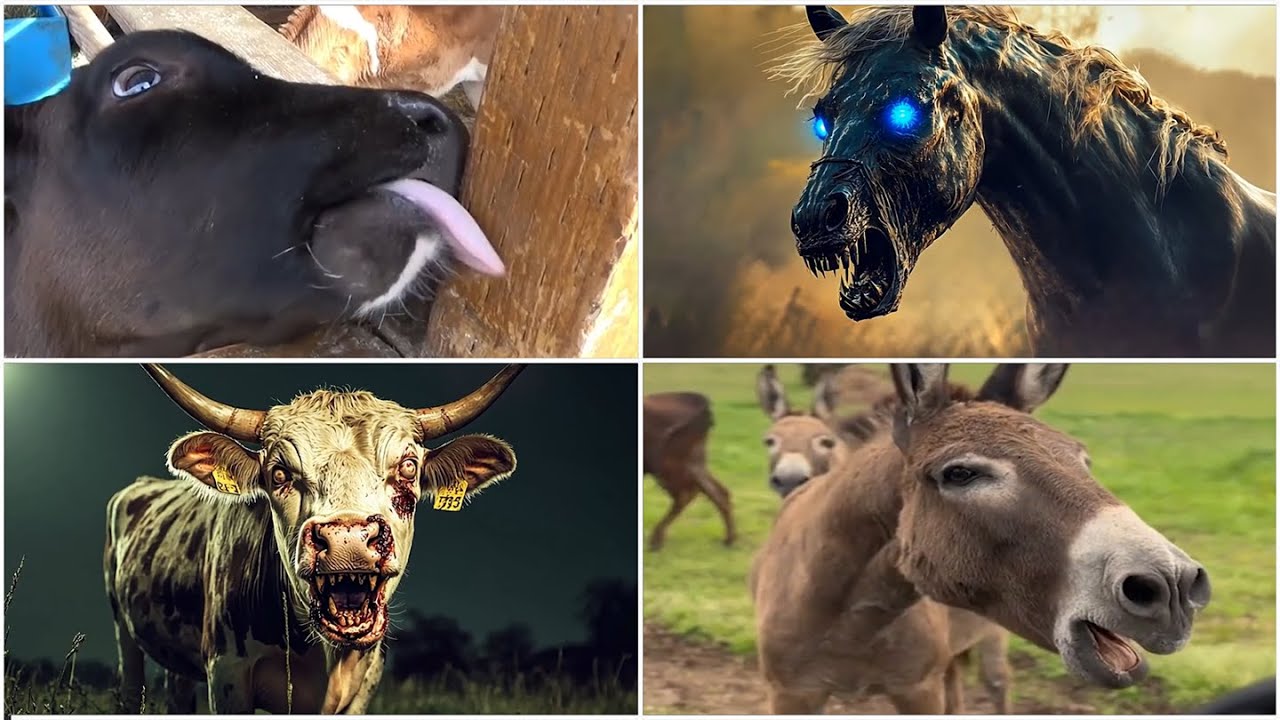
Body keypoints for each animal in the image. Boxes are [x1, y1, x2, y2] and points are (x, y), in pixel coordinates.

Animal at [104, 363, 522, 713]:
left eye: (407, 467)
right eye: (279, 474)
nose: (348, 537)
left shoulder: (364, 687)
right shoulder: (226, 676)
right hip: (125, 634)